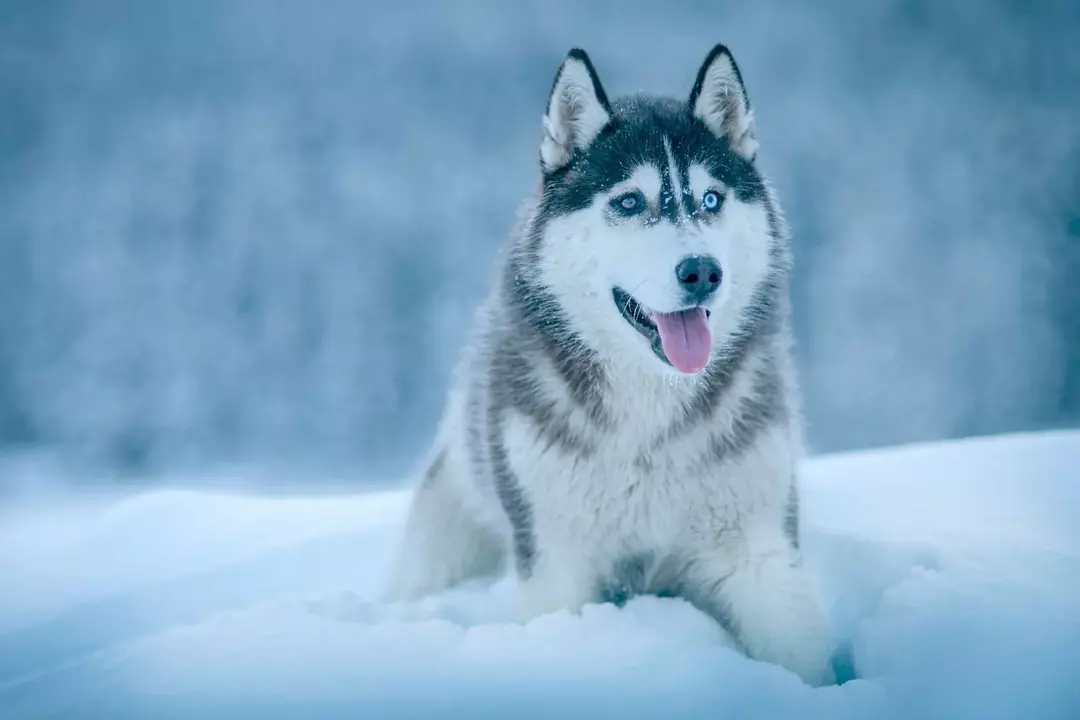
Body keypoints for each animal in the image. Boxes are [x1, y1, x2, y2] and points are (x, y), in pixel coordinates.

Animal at [386, 43, 833, 686]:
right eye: (629, 202)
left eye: (711, 199)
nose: (702, 270)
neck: (649, 415)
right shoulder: (556, 563)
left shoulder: (760, 550)